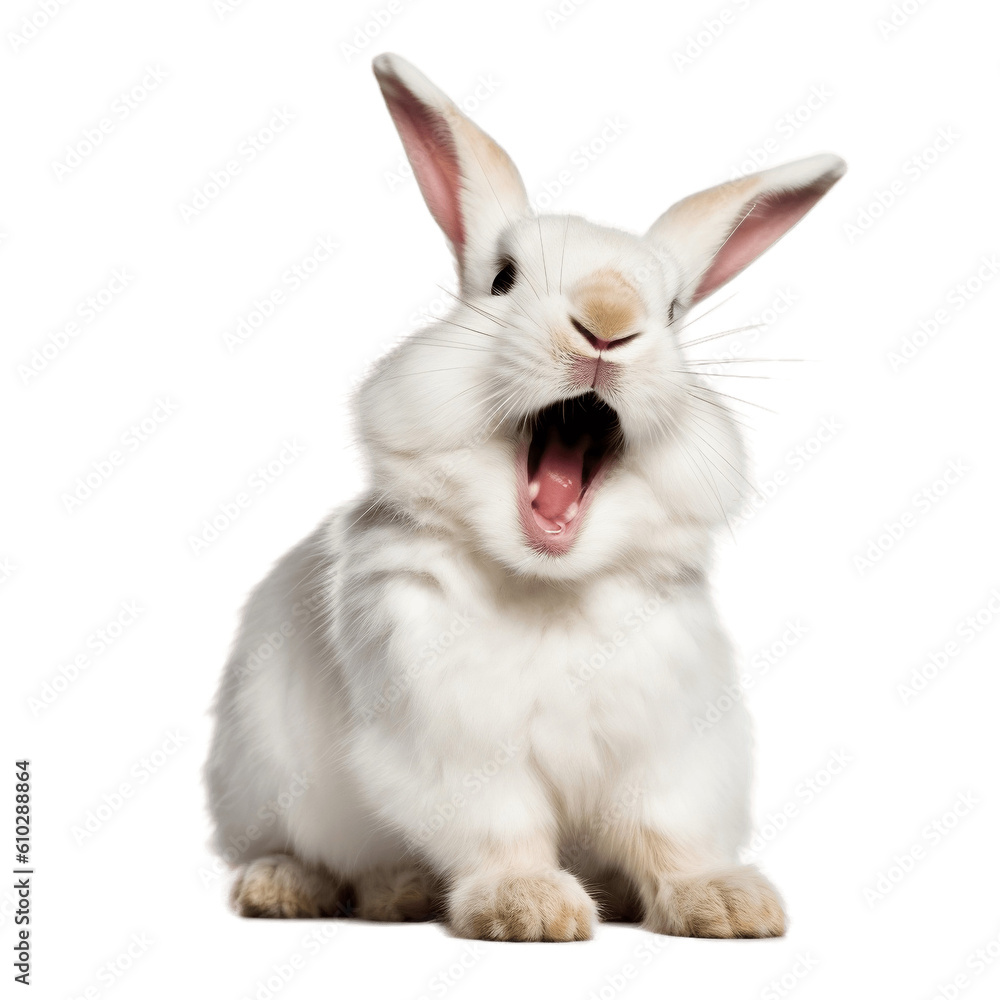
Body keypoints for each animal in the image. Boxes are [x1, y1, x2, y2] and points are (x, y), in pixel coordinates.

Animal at [204, 52, 845, 941]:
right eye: (503, 280)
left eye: (673, 311)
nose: (607, 324)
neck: (550, 583)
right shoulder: (451, 742)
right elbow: (501, 828)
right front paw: (530, 907)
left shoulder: (668, 745)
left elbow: (670, 830)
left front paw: (728, 903)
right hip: (257, 773)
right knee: (289, 847)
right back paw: (299, 887)